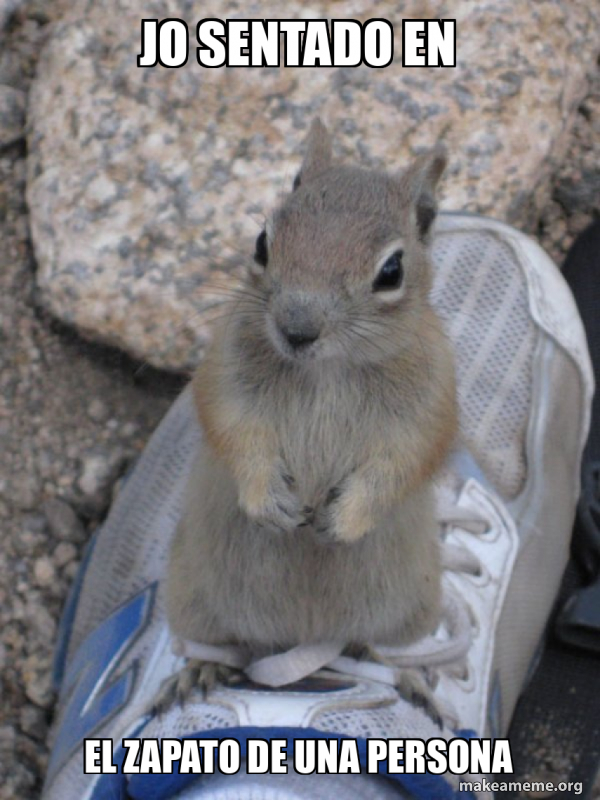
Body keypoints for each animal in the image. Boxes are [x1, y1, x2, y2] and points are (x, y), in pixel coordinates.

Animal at [163, 118, 457, 706]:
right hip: (191, 597)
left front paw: (345, 519)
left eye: (392, 271)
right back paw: (200, 671)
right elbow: (236, 434)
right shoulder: (227, 377)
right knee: (228, 646)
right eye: (263, 241)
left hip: (412, 610)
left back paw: (405, 678)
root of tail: (306, 634)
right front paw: (269, 500)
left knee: (367, 645)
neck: (327, 369)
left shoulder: (428, 407)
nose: (296, 329)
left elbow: (400, 464)